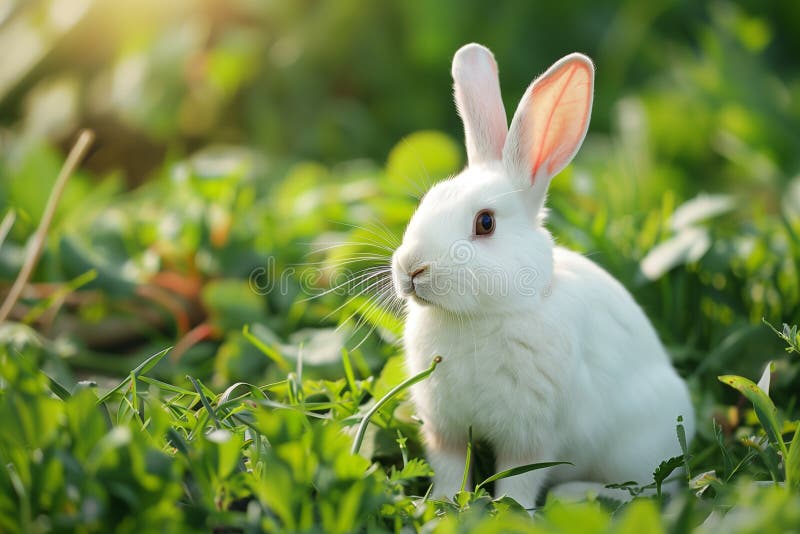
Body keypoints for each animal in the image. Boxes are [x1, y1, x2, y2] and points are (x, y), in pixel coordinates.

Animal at [390, 43, 695, 509]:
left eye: (485, 223)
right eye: (428, 201)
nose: (411, 269)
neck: (482, 317)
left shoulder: (532, 432)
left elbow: (519, 477)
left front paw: (509, 511)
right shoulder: (445, 427)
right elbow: (450, 468)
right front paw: (442, 505)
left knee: (646, 488)